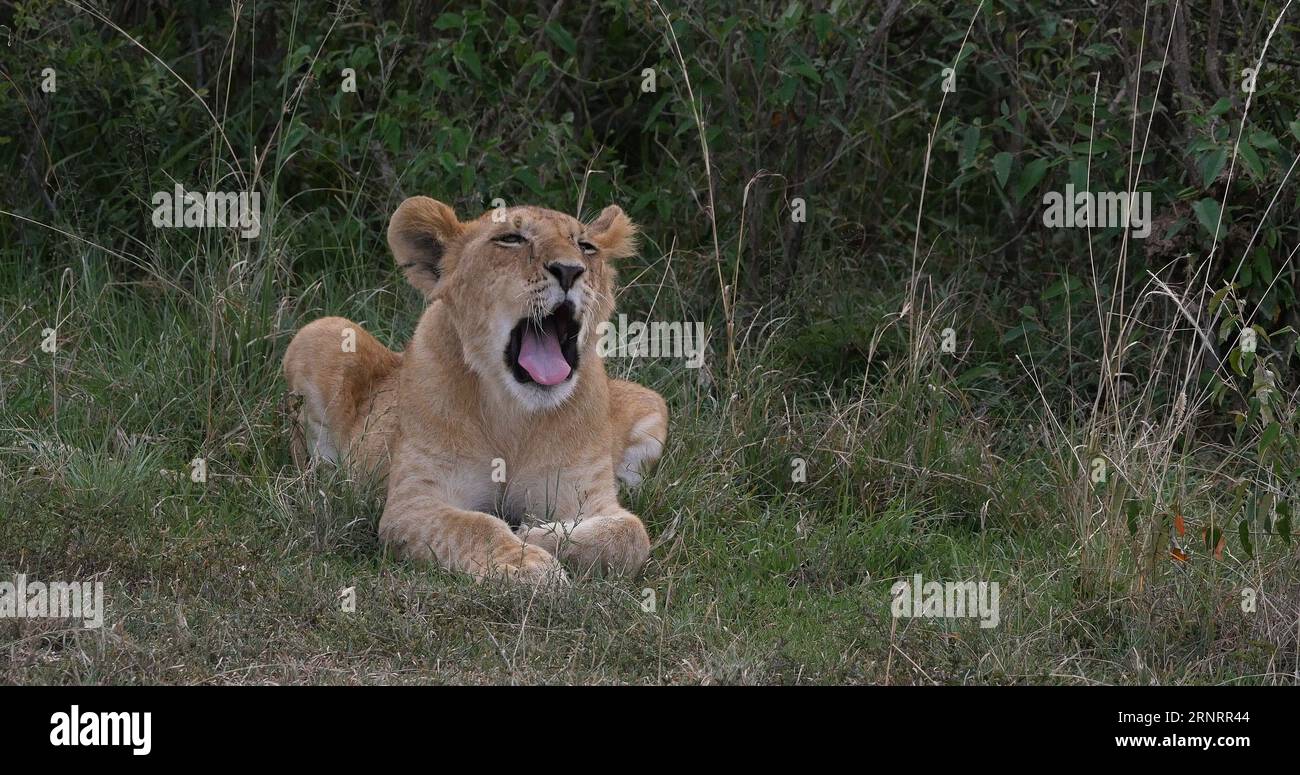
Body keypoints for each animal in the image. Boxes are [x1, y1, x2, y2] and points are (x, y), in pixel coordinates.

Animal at [282, 197, 668, 584]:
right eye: (511, 239)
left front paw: (539, 535)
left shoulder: (588, 493)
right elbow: (476, 527)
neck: (514, 413)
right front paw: (530, 563)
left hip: (654, 402)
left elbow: (630, 534)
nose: (570, 270)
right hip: (322, 331)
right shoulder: (413, 501)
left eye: (586, 246)